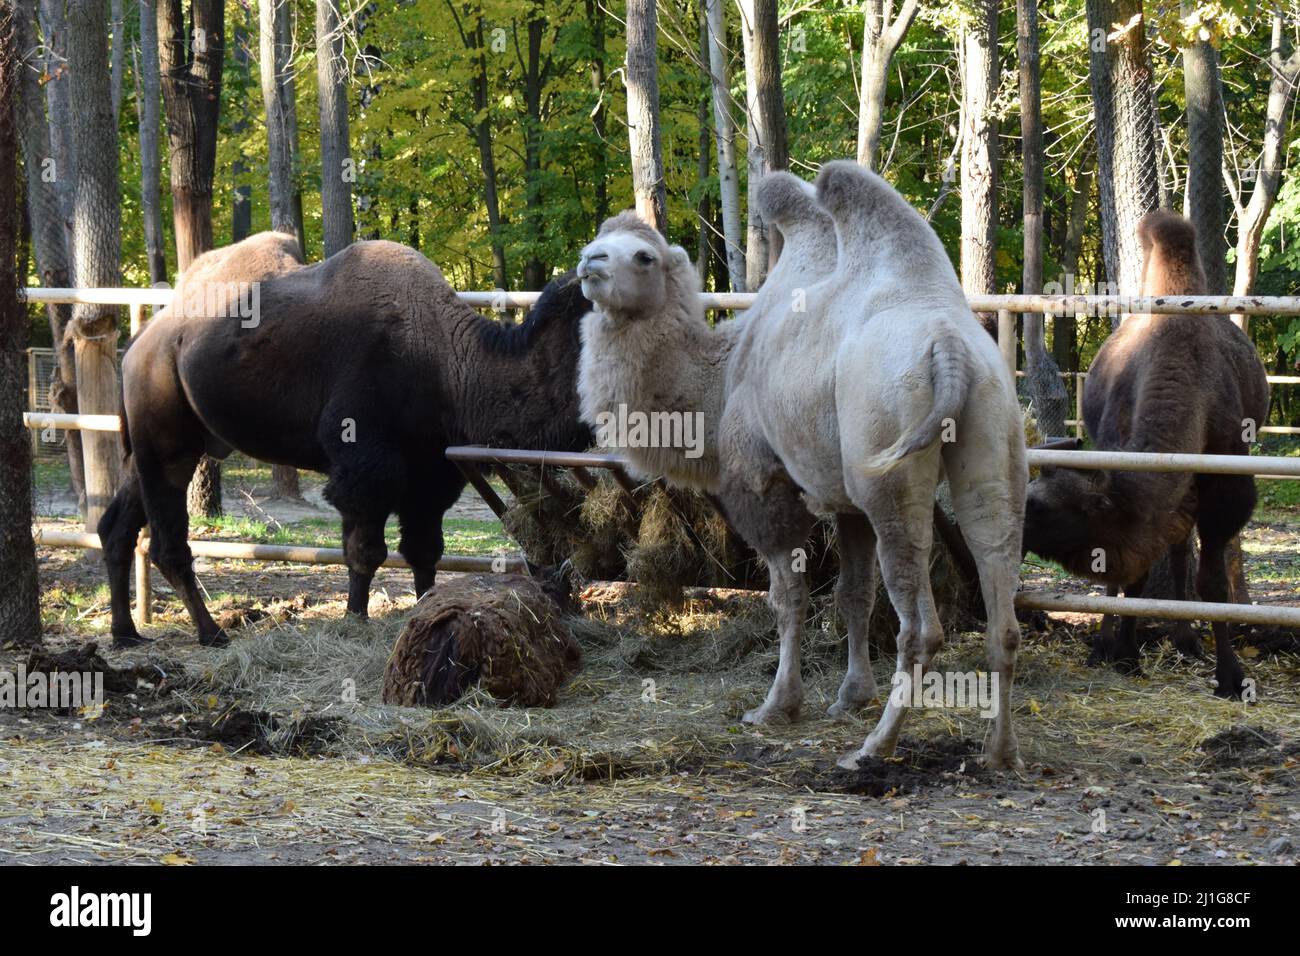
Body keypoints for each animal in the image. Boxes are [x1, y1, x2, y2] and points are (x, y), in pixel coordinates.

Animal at [99, 232, 593, 648]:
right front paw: (355, 619)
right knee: (166, 543)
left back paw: (125, 634)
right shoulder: (365, 462)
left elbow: (424, 550)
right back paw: (210, 633)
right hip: (167, 437)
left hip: (156, 447)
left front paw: (425, 609)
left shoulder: (432, 471)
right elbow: (366, 551)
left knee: (116, 526)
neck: (446, 365)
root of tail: (141, 341)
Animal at [577, 161, 1027, 770]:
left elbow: (788, 598)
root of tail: (949, 343)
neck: (719, 380)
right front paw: (849, 696)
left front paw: (776, 706)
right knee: (1000, 592)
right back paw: (998, 751)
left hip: (887, 464)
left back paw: (874, 748)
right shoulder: (846, 503)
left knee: (921, 626)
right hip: (993, 434)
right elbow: (853, 595)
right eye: (596, 241)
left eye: (643, 256)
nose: (588, 262)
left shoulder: (763, 484)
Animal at [1023, 210, 1269, 697]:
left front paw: (1231, 677)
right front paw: (1121, 654)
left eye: (1038, 508)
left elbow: (1213, 584)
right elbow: (1131, 578)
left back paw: (1187, 641)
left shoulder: (1227, 488)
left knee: (1179, 554)